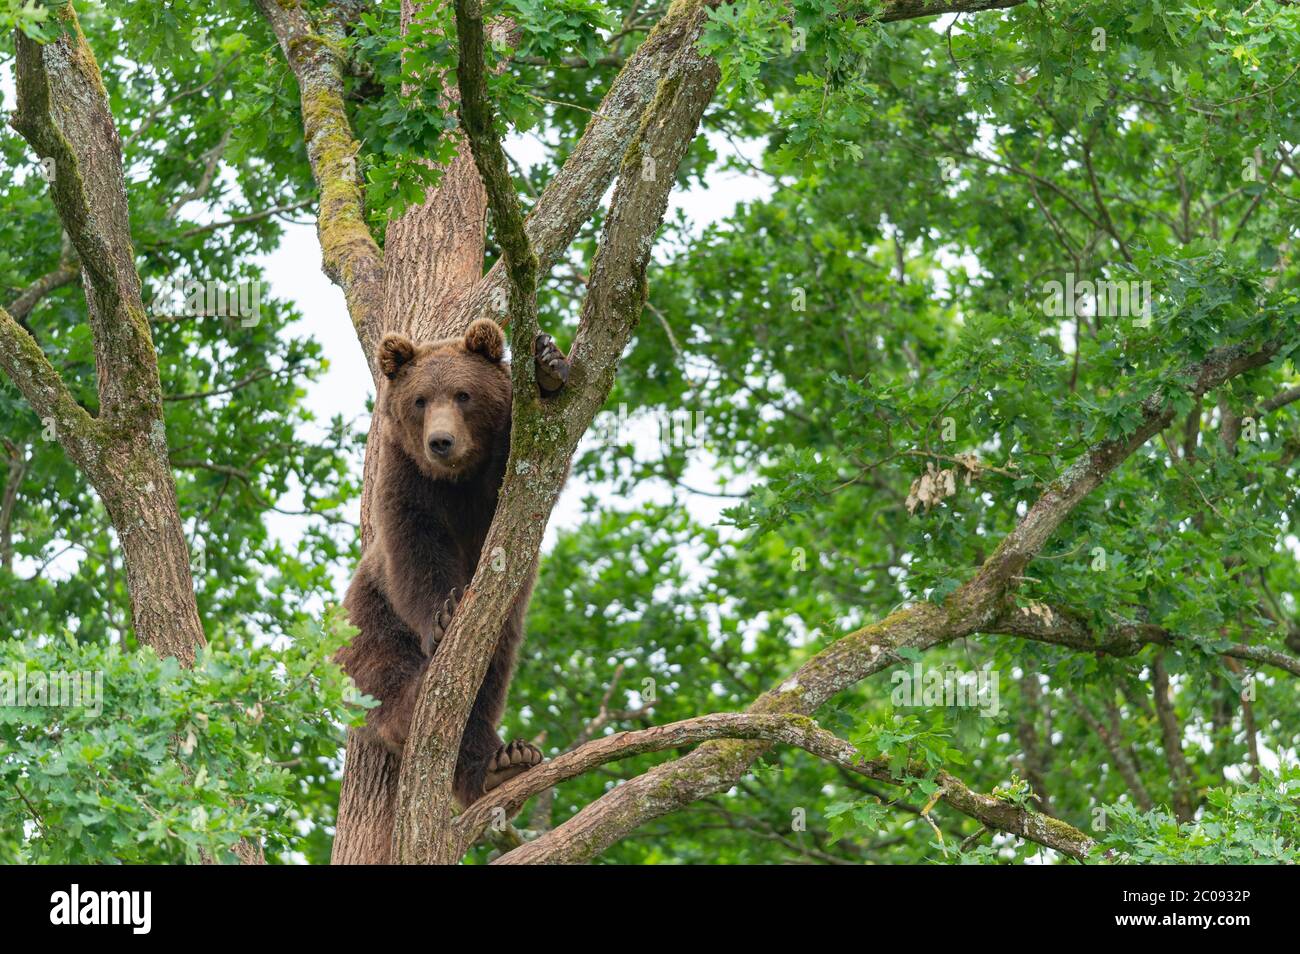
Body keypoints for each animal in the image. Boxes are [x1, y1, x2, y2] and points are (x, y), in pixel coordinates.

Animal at [338, 317, 570, 806]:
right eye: (420, 400)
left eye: (464, 394)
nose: (441, 441)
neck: (456, 477)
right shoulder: (406, 478)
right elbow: (415, 550)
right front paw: (444, 615)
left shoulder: (496, 479)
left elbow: (536, 467)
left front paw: (547, 363)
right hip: (366, 625)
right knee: (383, 677)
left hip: (504, 634)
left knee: (486, 688)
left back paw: (504, 761)